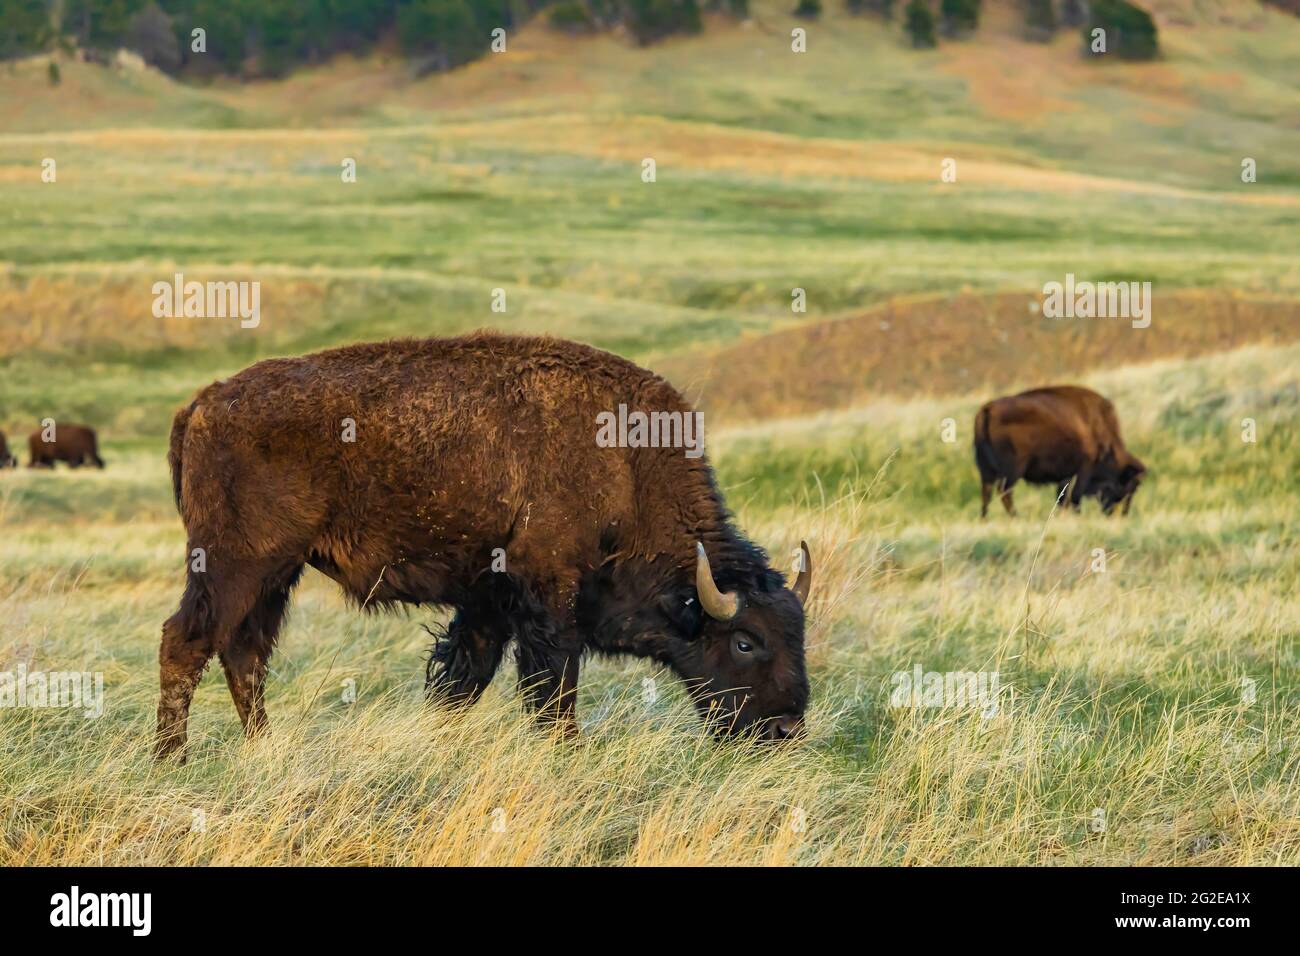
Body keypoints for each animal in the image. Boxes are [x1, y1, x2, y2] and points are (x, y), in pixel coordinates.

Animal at [156, 333, 812, 760]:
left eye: (797, 637)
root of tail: (202, 405)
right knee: (187, 642)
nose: (786, 731)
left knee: (245, 653)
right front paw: (566, 753)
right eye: (745, 641)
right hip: (238, 564)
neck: (629, 467)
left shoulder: (489, 598)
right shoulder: (546, 593)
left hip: (276, 575)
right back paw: (172, 760)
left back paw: (263, 749)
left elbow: (463, 678)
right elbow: (553, 686)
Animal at [974, 385, 1146, 517]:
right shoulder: (1083, 470)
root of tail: (988, 409)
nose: (1121, 513)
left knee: (986, 492)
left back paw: (985, 518)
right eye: (1129, 487)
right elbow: (1074, 496)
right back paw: (1016, 517)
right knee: (1004, 492)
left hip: (986, 469)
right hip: (1013, 470)